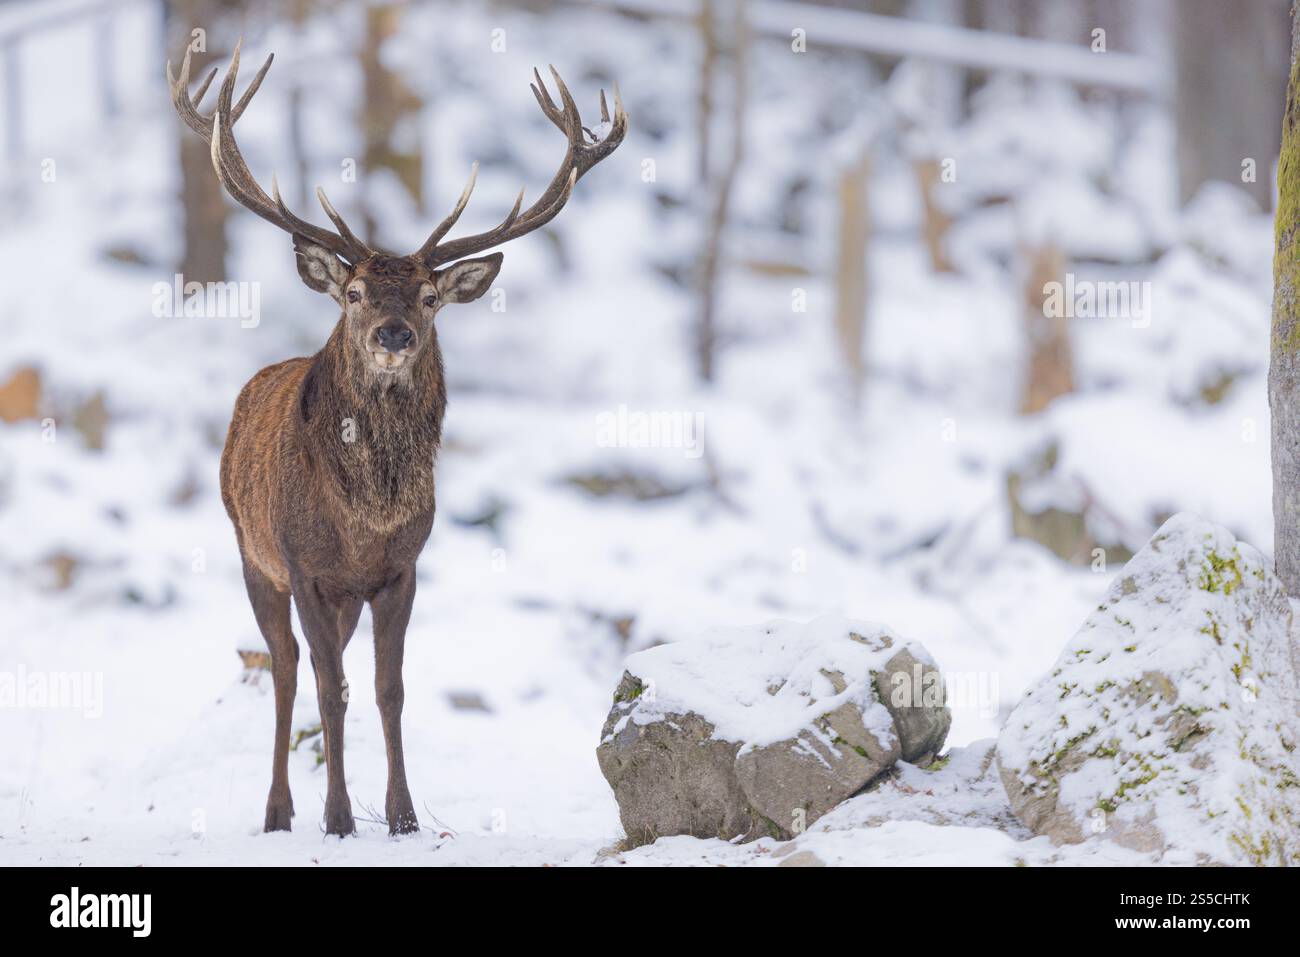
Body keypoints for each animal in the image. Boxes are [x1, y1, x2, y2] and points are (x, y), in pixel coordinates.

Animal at [167, 40, 626, 836]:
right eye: (354, 292)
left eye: (430, 296)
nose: (392, 333)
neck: (365, 519)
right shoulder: (306, 567)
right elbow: (328, 688)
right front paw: (338, 819)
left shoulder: (400, 570)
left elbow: (389, 689)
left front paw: (404, 815)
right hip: (252, 556)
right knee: (286, 668)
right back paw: (279, 810)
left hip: (341, 597)